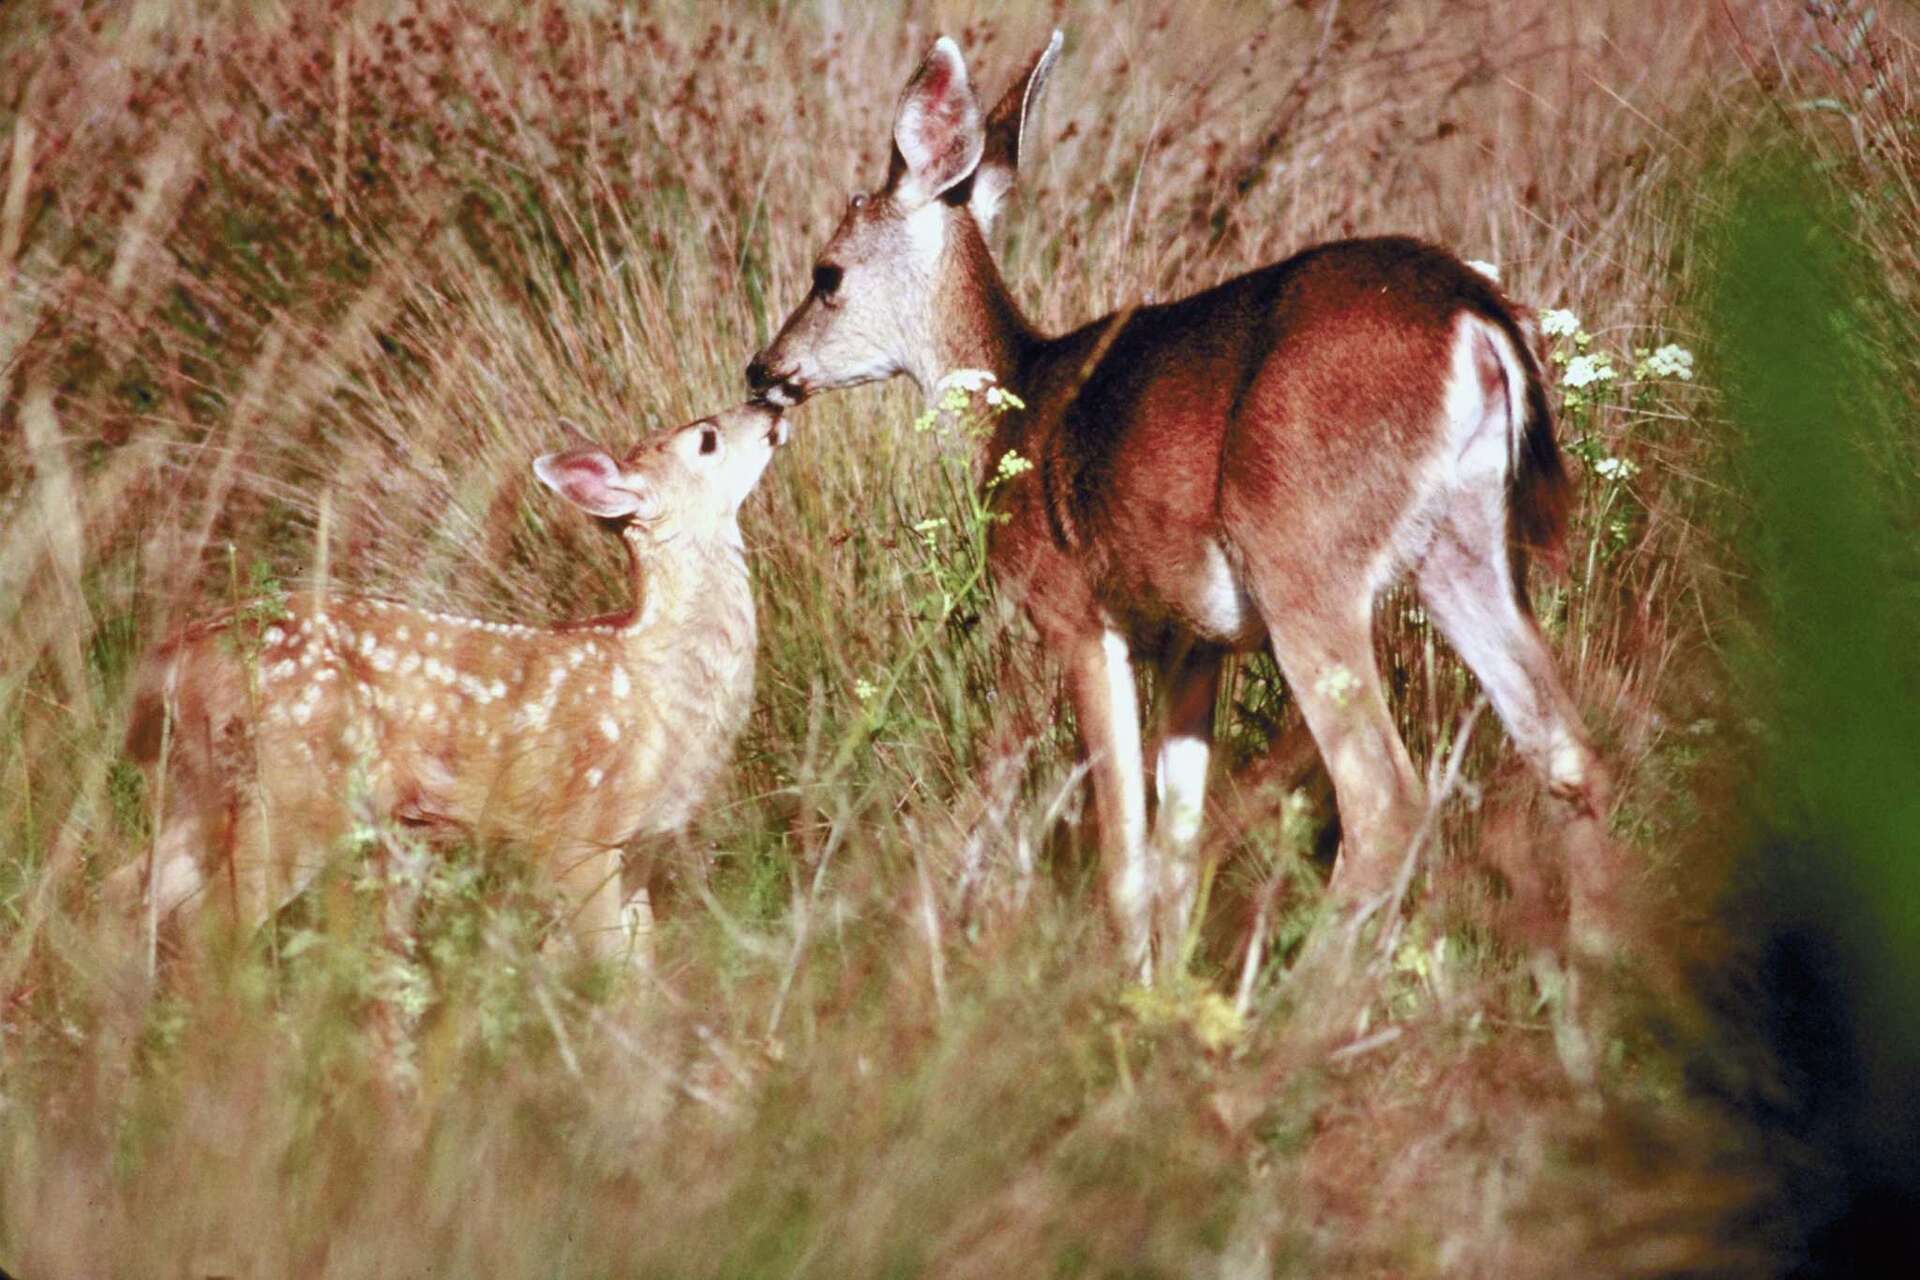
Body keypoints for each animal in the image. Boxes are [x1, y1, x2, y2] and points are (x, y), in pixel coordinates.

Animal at [116, 402, 787, 970]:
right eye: (707, 437)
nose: (771, 406)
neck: (662, 677)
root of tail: (176, 658)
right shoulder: (579, 829)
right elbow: (601, 963)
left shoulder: (642, 845)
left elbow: (636, 970)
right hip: (290, 790)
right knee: (209, 923)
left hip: (201, 787)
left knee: (136, 888)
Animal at [747, 33, 1622, 977]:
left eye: (827, 273)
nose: (764, 368)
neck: (1016, 402)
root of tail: (1477, 314)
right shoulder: (1192, 641)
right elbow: (1177, 842)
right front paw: (1163, 981)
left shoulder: (1076, 612)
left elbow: (1124, 843)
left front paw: (1126, 985)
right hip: (1465, 546)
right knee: (1568, 751)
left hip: (1304, 555)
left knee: (1387, 799)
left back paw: (1293, 1003)